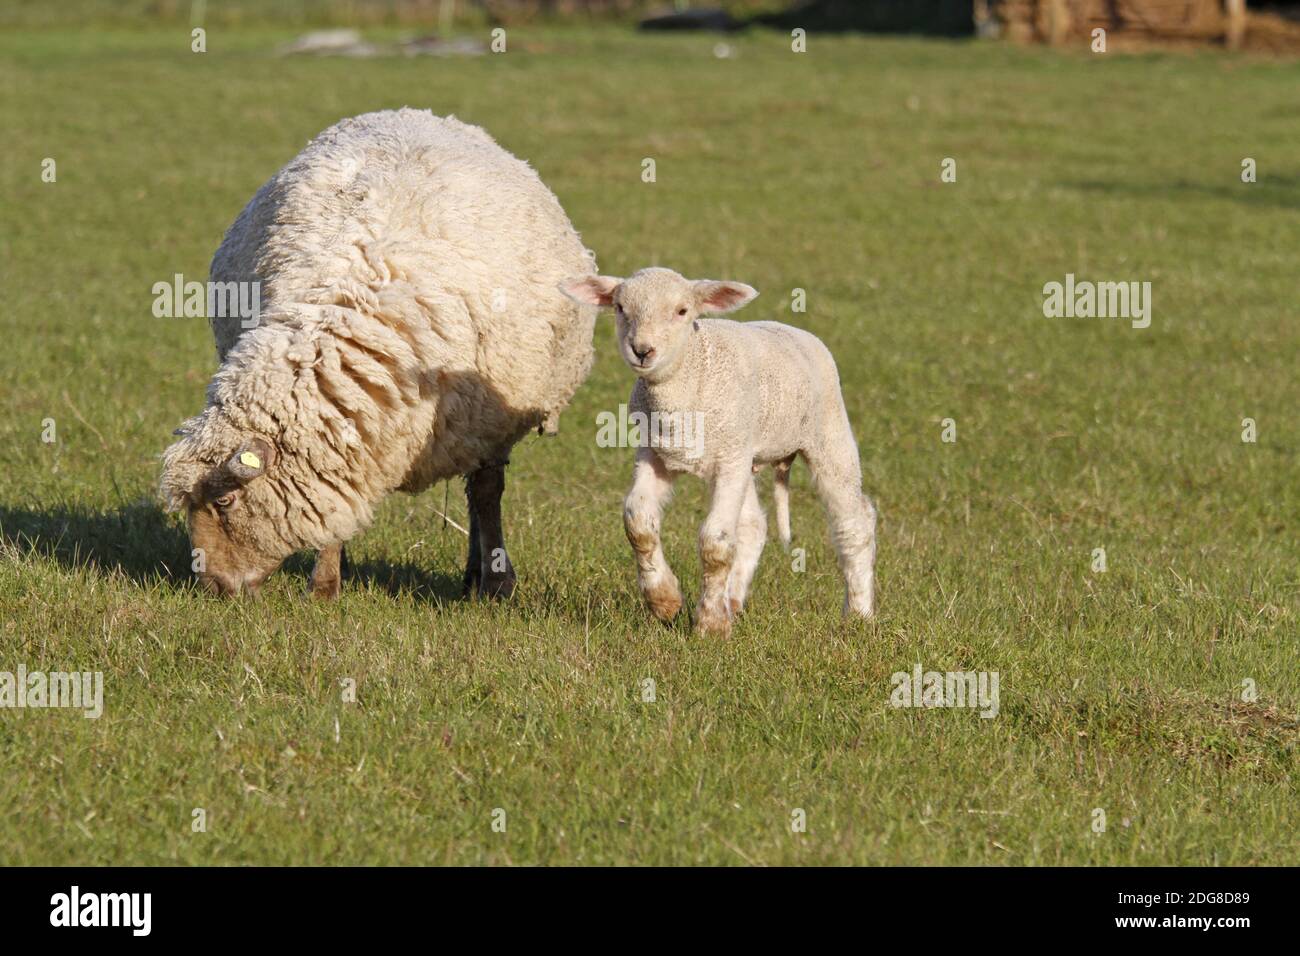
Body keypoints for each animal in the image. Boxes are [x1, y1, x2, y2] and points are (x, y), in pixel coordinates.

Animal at [161, 109, 598, 598]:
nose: (210, 586)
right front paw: (327, 584)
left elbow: (487, 494)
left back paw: (475, 574)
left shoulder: (495, 419)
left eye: (224, 499)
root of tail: (411, 112)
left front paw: (497, 584)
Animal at [562, 267, 877, 636]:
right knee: (753, 525)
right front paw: (664, 601)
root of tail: (794, 330)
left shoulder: (729, 459)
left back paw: (859, 612)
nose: (642, 350)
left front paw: (710, 624)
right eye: (620, 308)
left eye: (682, 311)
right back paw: (733, 601)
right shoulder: (655, 453)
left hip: (826, 431)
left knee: (854, 522)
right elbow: (638, 522)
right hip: (745, 453)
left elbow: (715, 542)